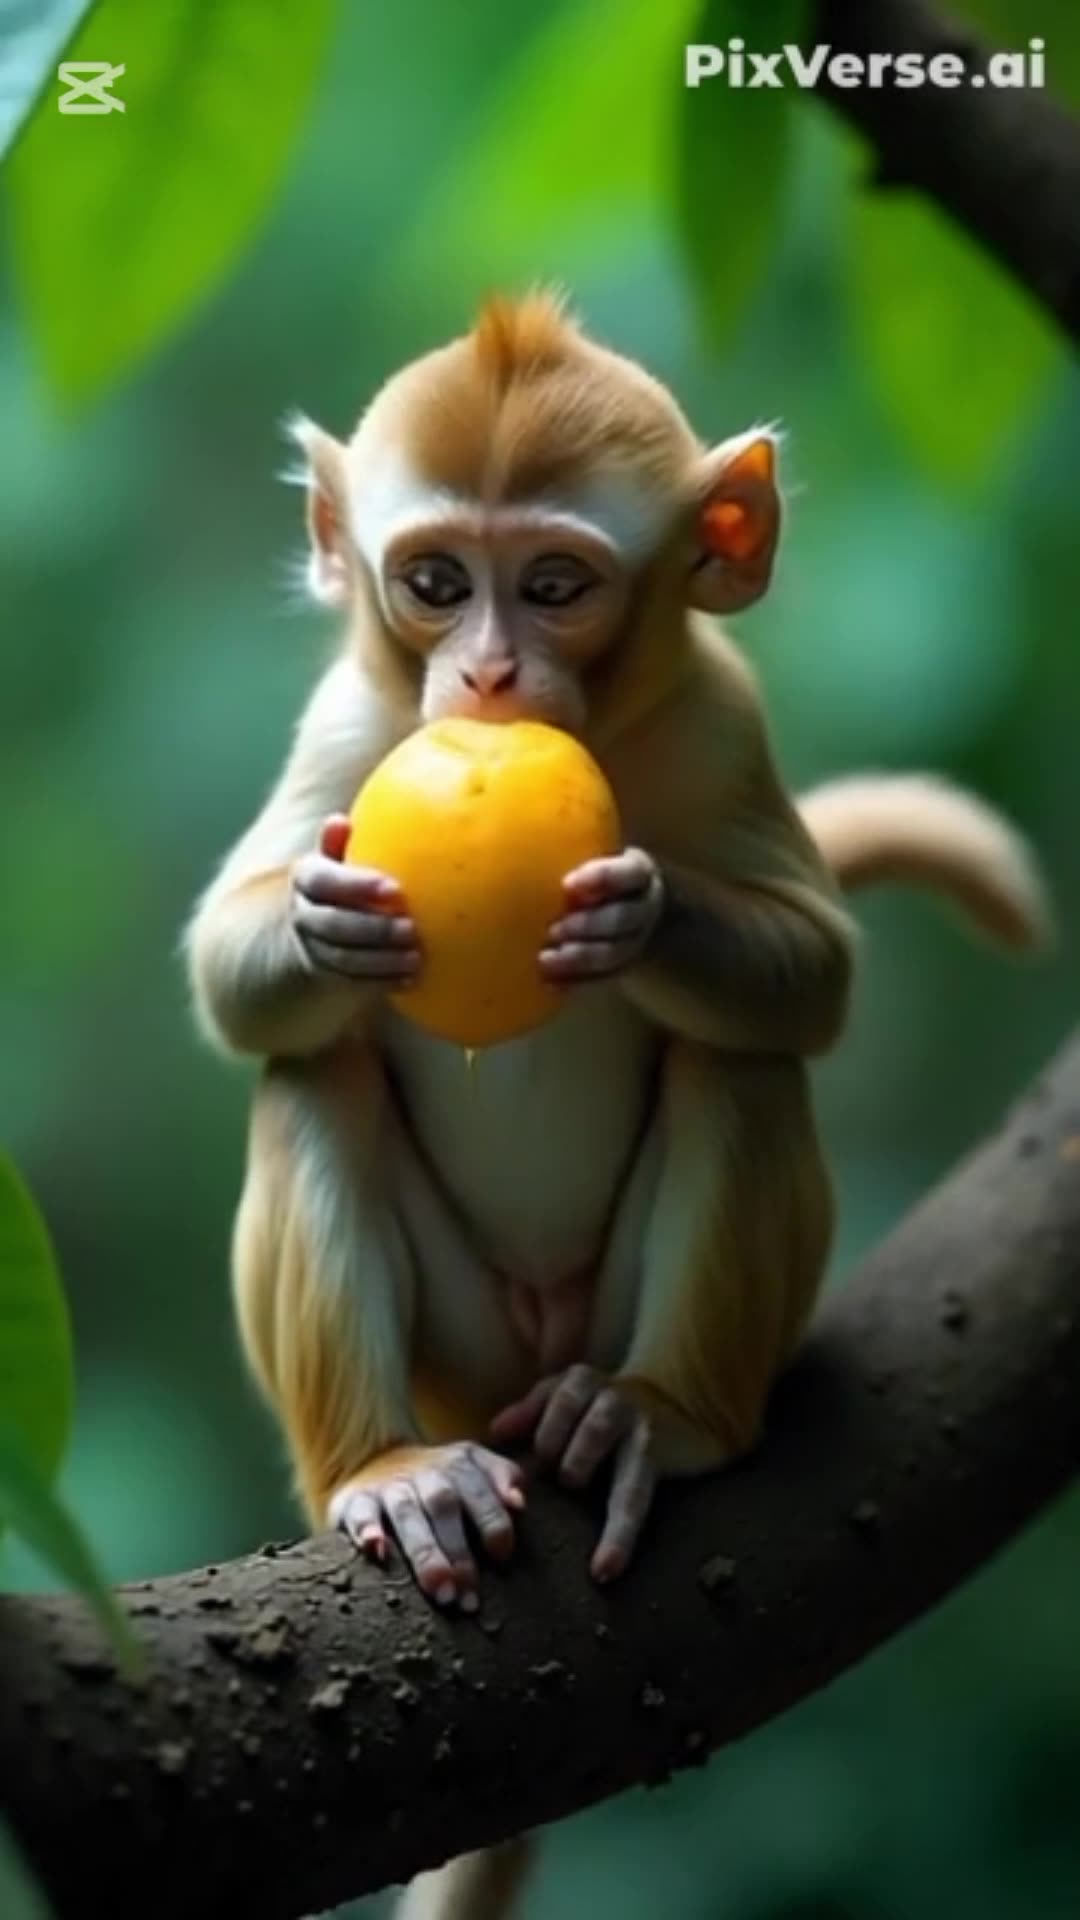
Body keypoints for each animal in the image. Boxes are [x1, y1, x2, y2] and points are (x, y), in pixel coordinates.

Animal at [186, 293, 1048, 1920]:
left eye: (555, 586)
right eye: (437, 585)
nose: (486, 682)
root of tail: (522, 1370)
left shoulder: (724, 717)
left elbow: (814, 979)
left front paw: (638, 919)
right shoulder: (349, 729)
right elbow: (231, 977)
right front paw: (328, 928)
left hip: (608, 1318)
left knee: (737, 1069)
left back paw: (658, 1414)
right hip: (456, 1350)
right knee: (315, 1080)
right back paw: (386, 1472)